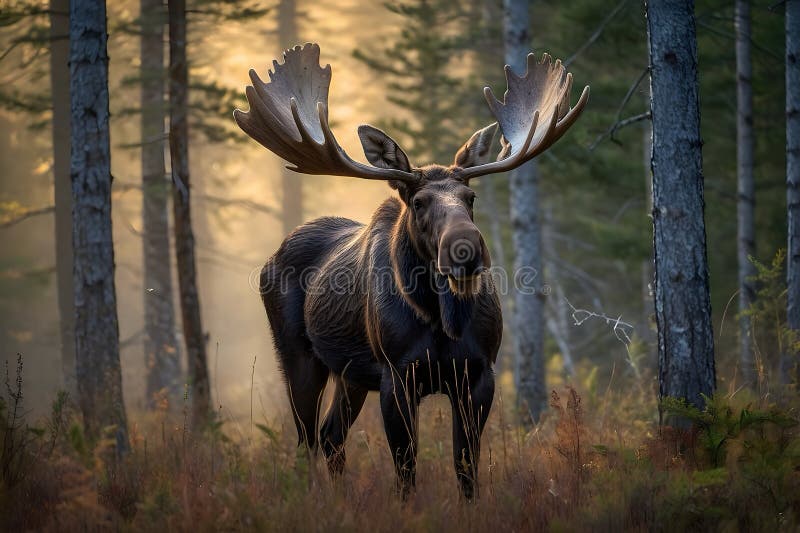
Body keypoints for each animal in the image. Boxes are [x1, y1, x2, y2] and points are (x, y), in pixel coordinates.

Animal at [234, 43, 588, 499]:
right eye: (418, 202)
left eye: (470, 197)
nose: (466, 249)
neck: (442, 320)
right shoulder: (398, 376)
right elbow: (406, 470)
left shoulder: (478, 375)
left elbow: (465, 467)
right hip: (298, 355)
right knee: (305, 440)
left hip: (350, 374)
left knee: (331, 437)